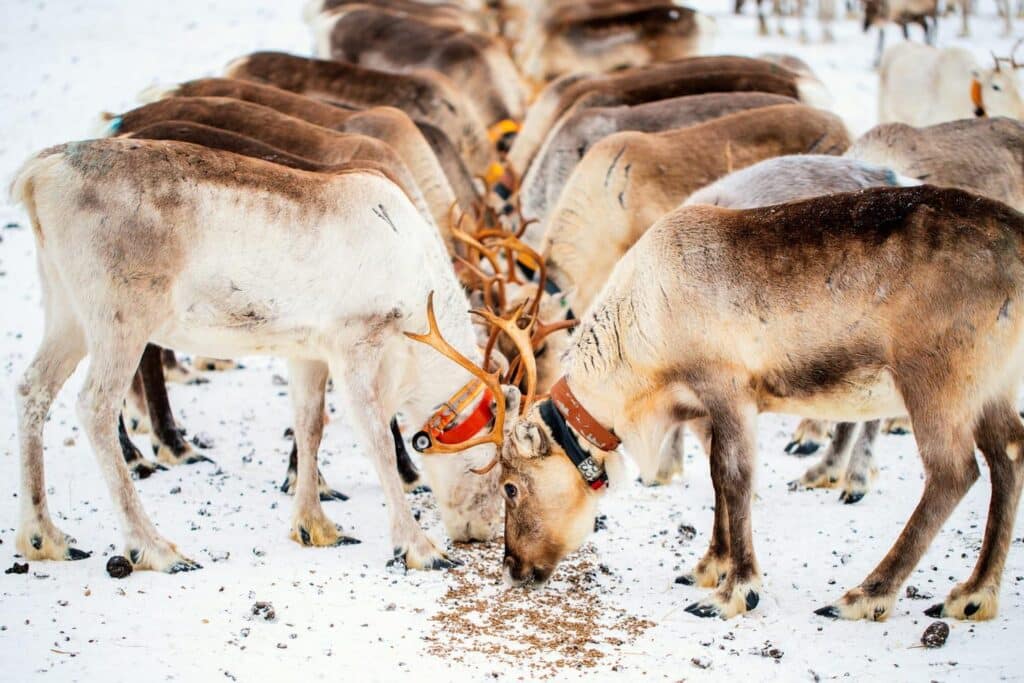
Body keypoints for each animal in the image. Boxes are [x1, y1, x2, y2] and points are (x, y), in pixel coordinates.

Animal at [9, 137, 518, 573]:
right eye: (493, 469)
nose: (479, 531)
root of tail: (37, 174)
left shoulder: (308, 352)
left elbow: (310, 426)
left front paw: (316, 527)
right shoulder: (355, 342)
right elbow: (375, 436)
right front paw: (419, 548)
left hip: (66, 309)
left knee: (32, 388)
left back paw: (45, 538)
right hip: (120, 316)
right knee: (94, 406)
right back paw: (155, 549)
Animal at [472, 184, 1024, 623]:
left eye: (511, 488)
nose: (512, 568)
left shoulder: (730, 389)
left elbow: (733, 477)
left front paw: (735, 590)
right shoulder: (706, 407)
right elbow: (718, 480)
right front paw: (709, 566)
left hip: (936, 381)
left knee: (954, 472)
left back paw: (866, 594)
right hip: (992, 388)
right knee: (1009, 457)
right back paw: (974, 594)